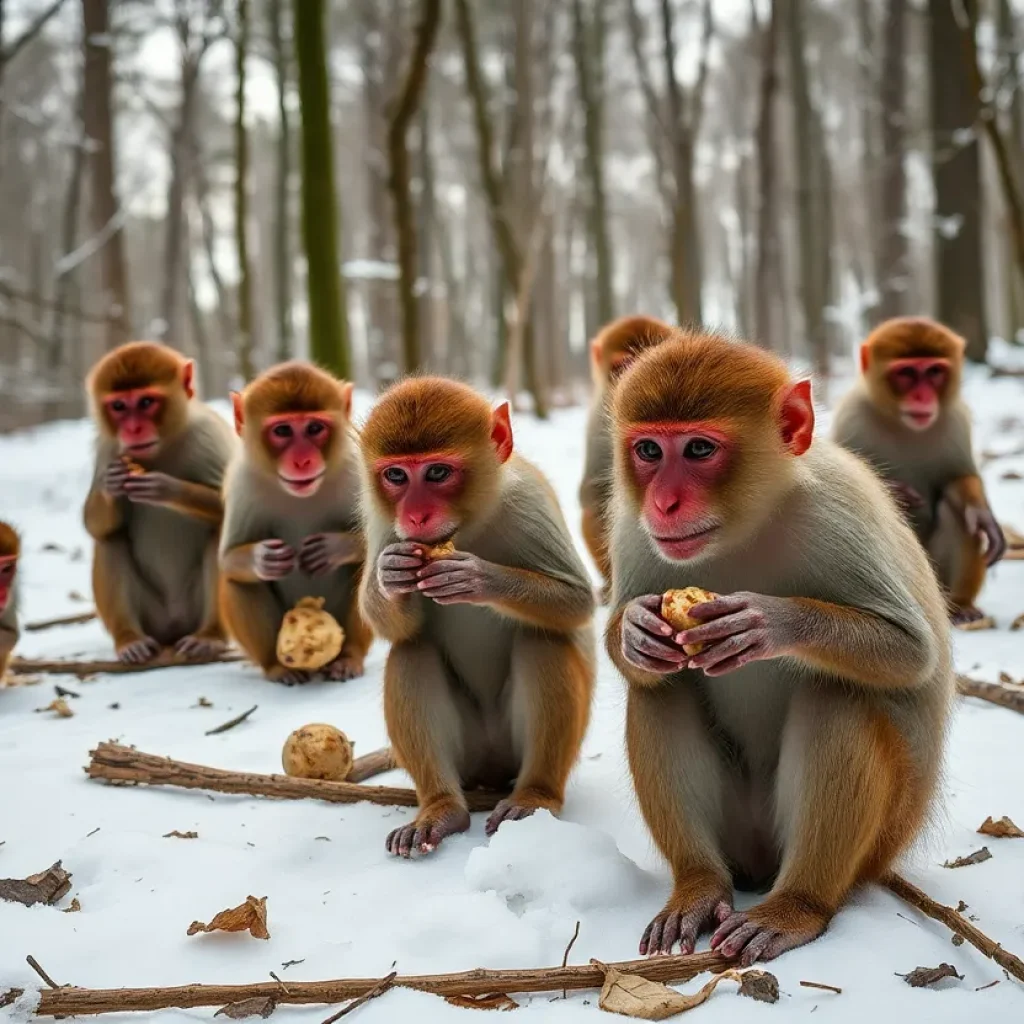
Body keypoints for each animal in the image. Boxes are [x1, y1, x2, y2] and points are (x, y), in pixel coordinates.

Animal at [83, 342, 236, 663]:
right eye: (119, 406)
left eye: (146, 402)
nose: (133, 429)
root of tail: (174, 628)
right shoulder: (108, 447)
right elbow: (95, 526)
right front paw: (111, 486)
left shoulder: (210, 436)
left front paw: (165, 488)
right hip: (154, 619)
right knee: (110, 539)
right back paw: (130, 639)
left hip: (191, 611)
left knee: (220, 532)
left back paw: (210, 636)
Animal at [218, 362, 372, 685]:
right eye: (282, 430)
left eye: (314, 428)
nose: (303, 461)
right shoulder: (241, 482)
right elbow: (229, 559)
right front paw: (262, 557)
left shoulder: (357, 469)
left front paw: (335, 548)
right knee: (237, 581)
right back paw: (278, 668)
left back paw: (349, 657)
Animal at [359, 377, 596, 857]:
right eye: (396, 475)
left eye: (436, 473)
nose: (415, 515)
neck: (465, 528)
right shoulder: (383, 521)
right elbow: (395, 627)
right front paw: (392, 575)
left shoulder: (528, 502)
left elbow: (577, 602)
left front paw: (476, 576)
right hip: (469, 757)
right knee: (411, 651)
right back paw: (441, 809)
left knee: (543, 640)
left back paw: (534, 795)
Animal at [605, 330, 953, 965]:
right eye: (647, 450)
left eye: (698, 449)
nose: (663, 505)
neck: (746, 525)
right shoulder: (631, 524)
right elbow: (642, 654)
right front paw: (635, 632)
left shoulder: (841, 513)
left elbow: (911, 653)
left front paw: (768, 622)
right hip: (741, 834)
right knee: (663, 690)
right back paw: (698, 886)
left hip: (879, 842)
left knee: (838, 695)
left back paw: (797, 906)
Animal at [832, 317, 1005, 624]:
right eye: (907, 372)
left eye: (934, 371)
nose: (922, 396)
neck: (904, 425)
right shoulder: (850, 419)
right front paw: (896, 492)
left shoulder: (956, 421)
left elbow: (959, 479)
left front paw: (982, 513)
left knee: (955, 510)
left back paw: (960, 606)